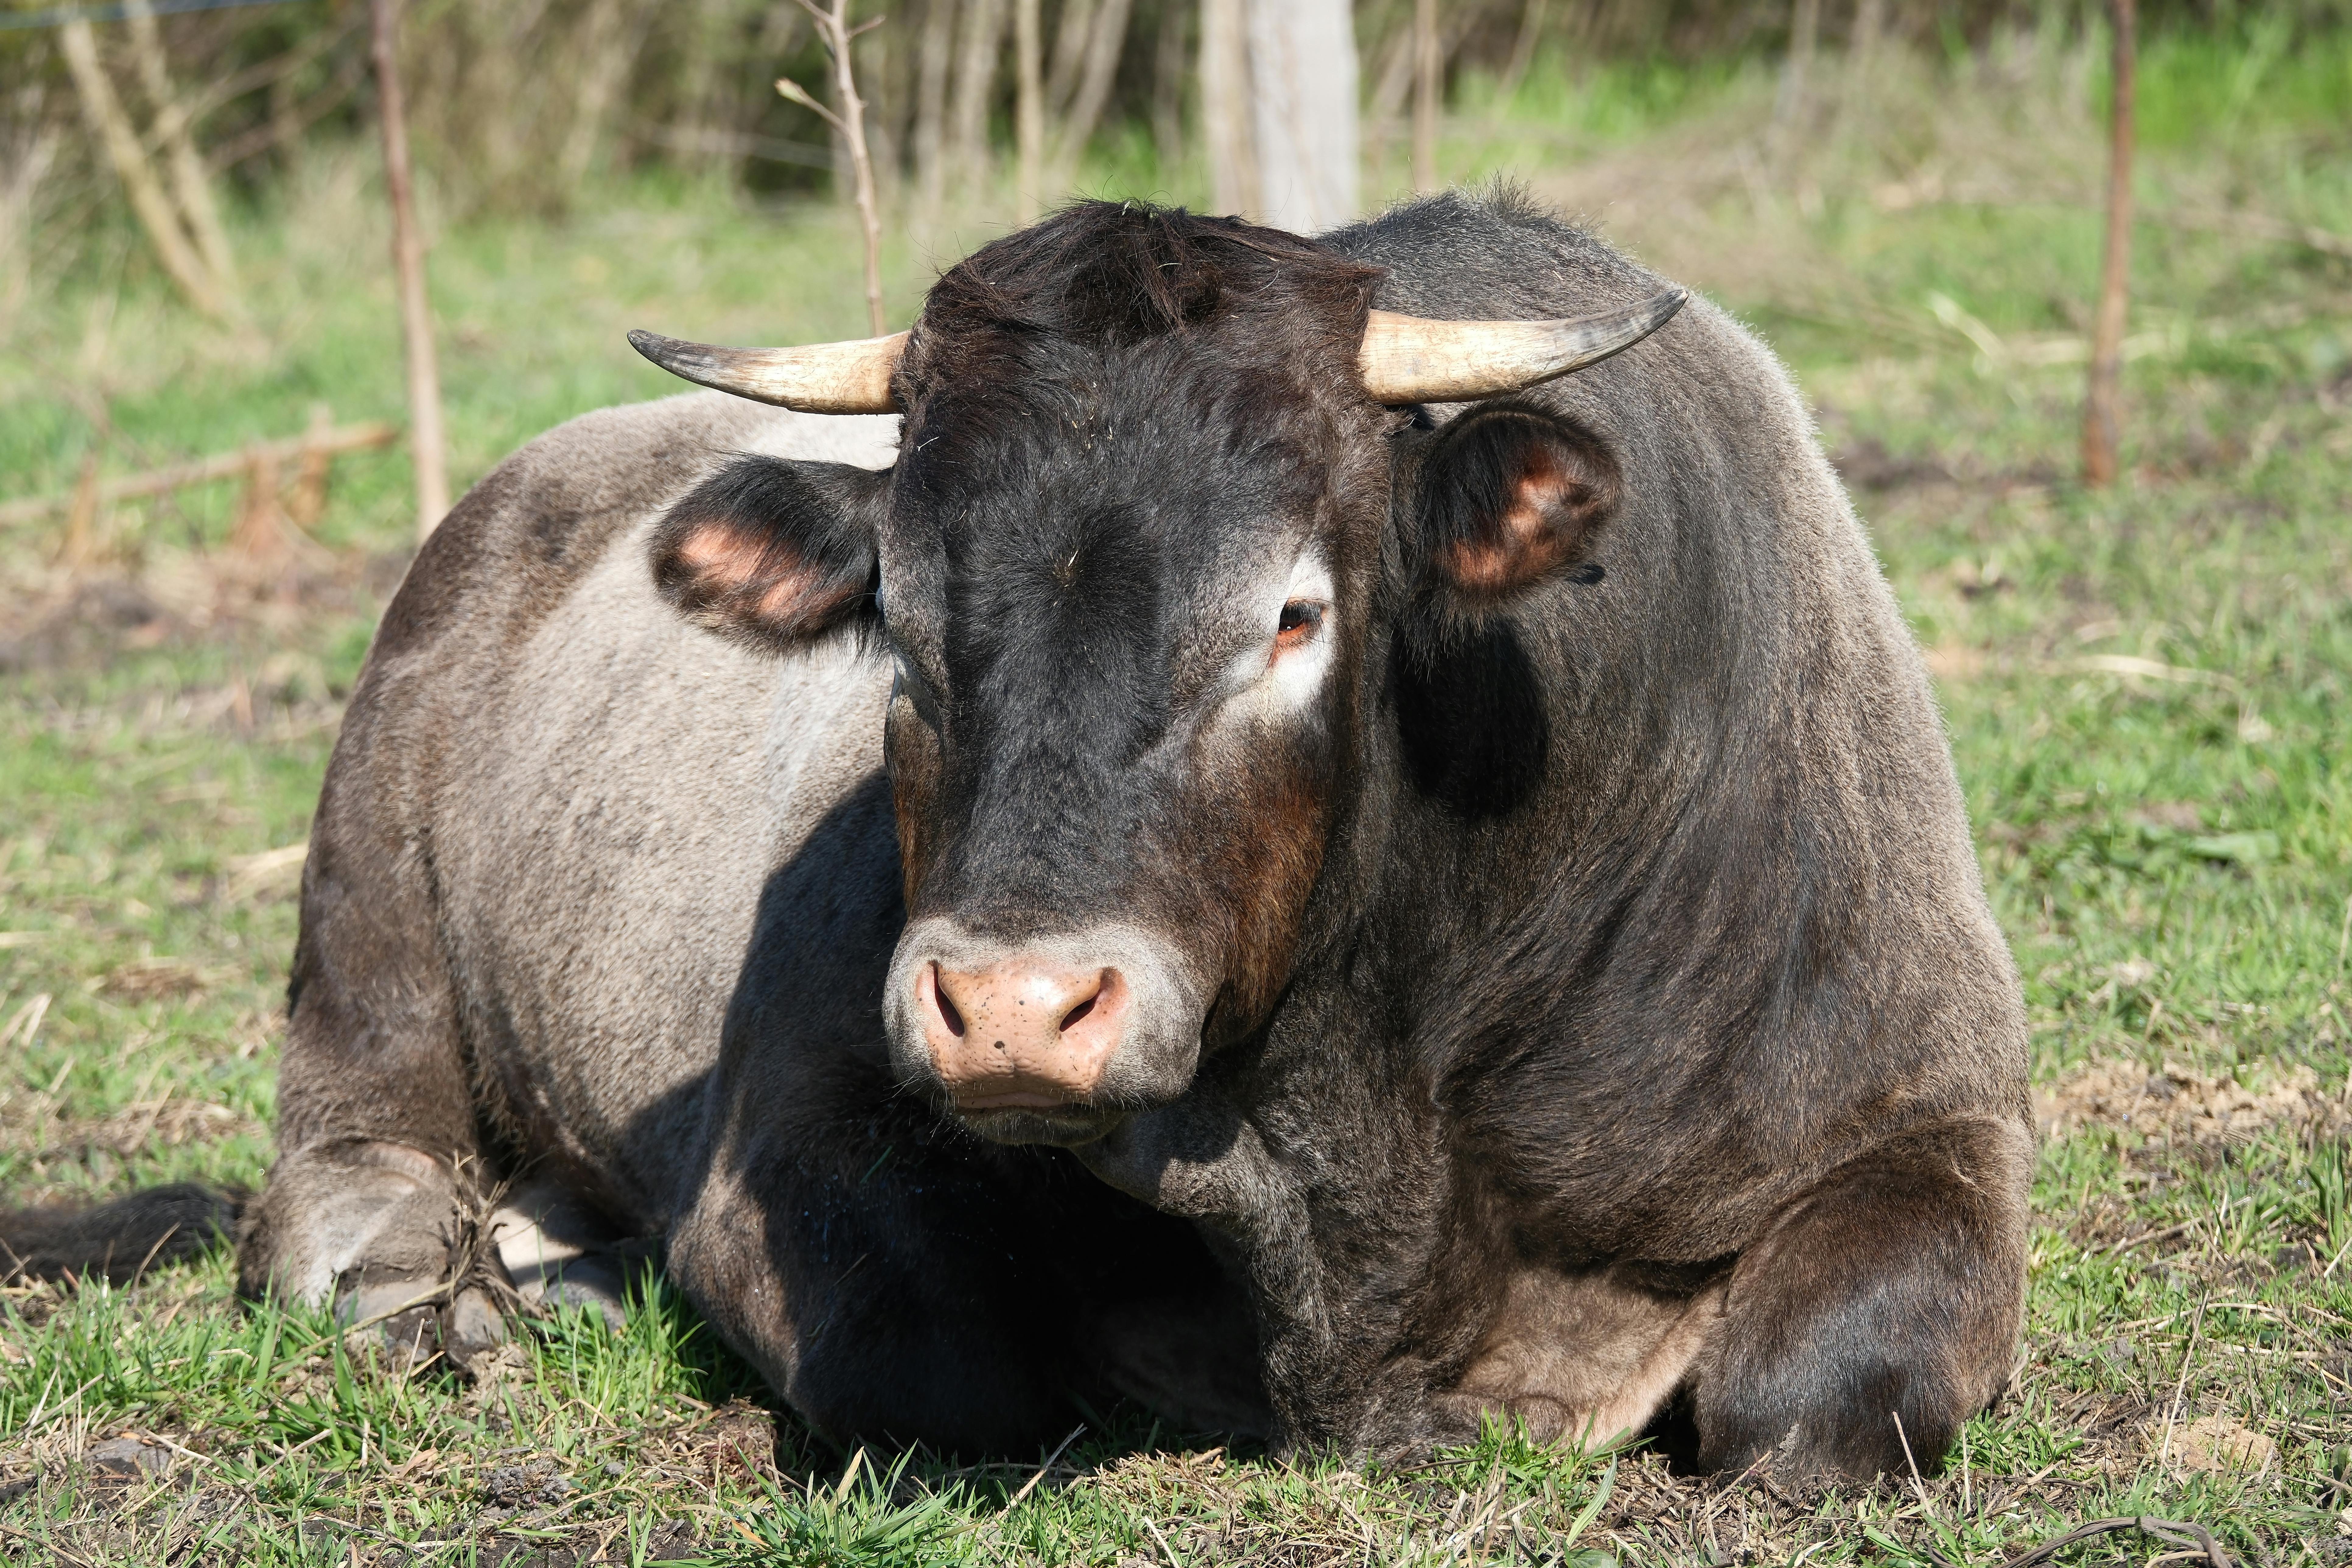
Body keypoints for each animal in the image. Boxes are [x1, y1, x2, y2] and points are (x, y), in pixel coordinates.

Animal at [8, 192, 2030, 1481]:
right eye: (896, 621)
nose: (1014, 1011)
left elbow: (1810, 1403)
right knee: (332, 1181)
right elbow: (945, 1365)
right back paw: (446, 1295)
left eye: (1293, 615)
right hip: (364, 949)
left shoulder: (1930, 1112)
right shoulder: (792, 1142)